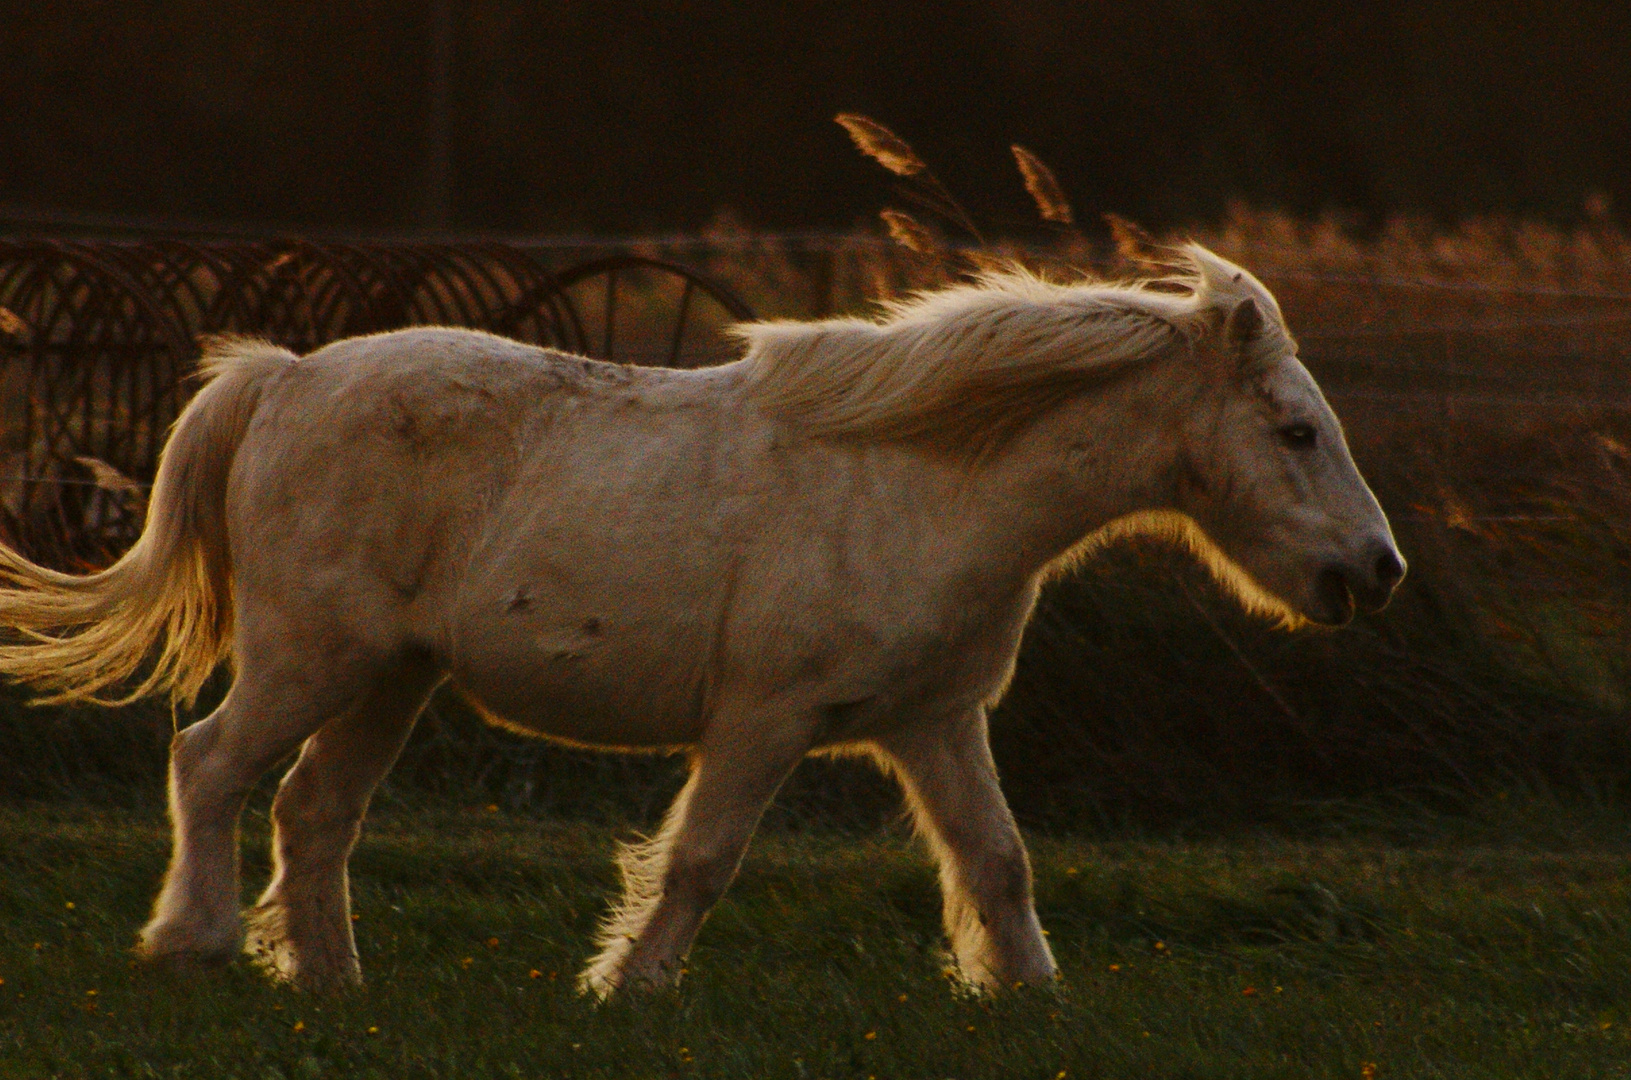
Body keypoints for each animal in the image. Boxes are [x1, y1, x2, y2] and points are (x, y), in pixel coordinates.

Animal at [0, 243, 1402, 998]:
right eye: (1294, 430)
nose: (1373, 572)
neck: (921, 484)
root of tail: (280, 376)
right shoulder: (764, 720)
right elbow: (700, 862)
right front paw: (627, 988)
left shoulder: (935, 724)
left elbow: (996, 864)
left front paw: (1029, 997)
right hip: (312, 655)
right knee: (211, 767)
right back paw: (192, 945)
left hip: (393, 676)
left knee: (311, 811)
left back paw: (331, 982)